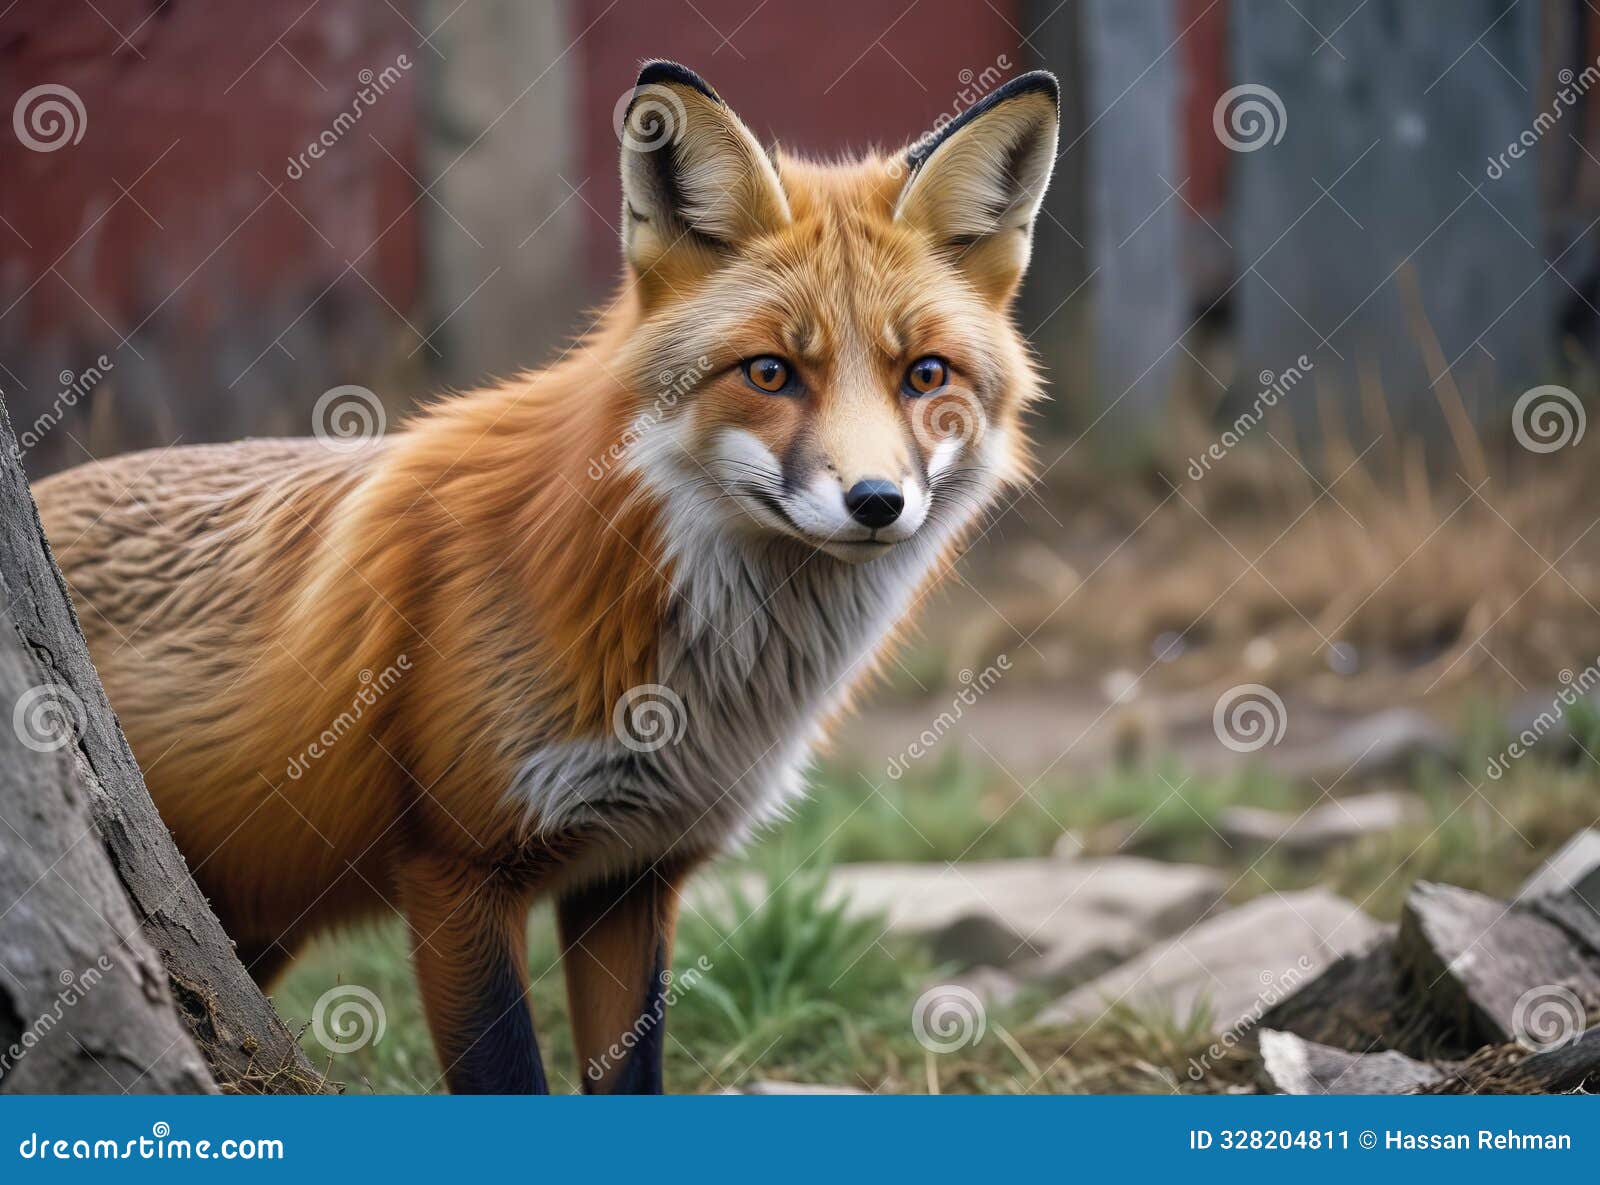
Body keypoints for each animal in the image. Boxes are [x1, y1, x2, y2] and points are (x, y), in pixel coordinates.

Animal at [30, 61, 1059, 1094]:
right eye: (769, 372)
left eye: (924, 375)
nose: (878, 501)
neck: (699, 684)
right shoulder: (457, 872)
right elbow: (512, 1074)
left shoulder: (630, 875)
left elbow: (631, 1076)